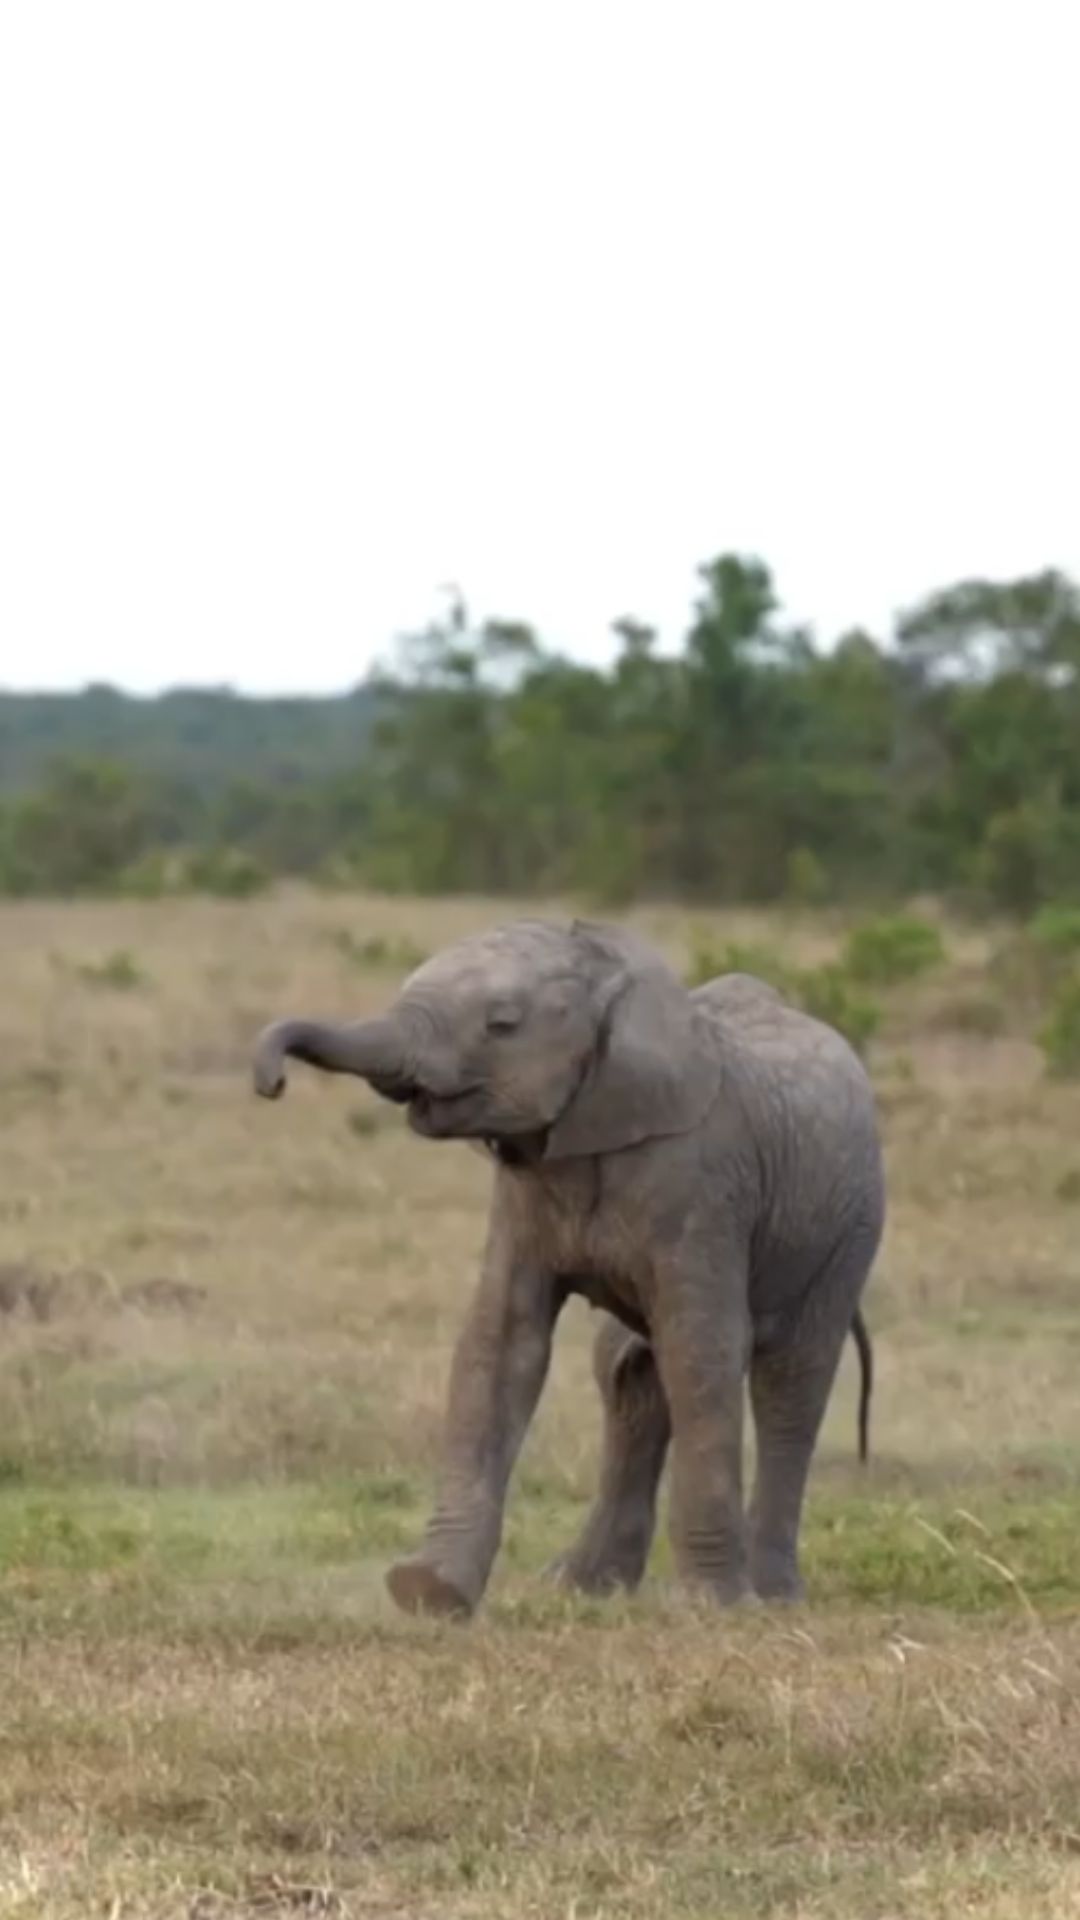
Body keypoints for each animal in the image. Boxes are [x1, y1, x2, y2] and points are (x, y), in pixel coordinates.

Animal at [253, 918, 885, 1617]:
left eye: (501, 1024)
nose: (272, 1083)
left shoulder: (705, 1186)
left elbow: (704, 1350)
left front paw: (715, 1609)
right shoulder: (520, 1196)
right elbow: (500, 1345)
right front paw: (430, 1593)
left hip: (849, 1227)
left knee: (790, 1379)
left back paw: (773, 1598)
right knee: (629, 1373)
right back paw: (583, 1584)